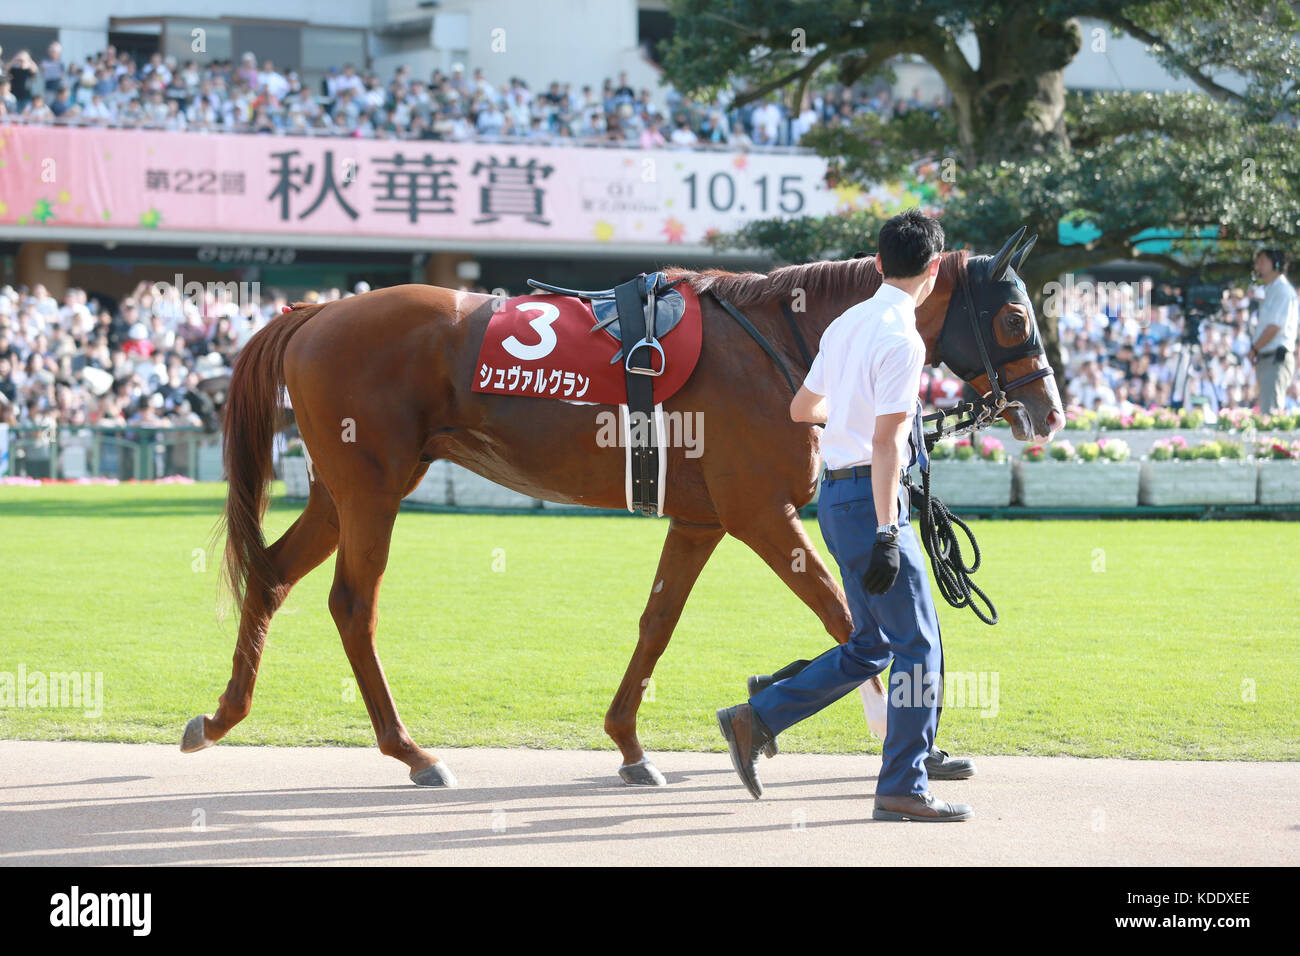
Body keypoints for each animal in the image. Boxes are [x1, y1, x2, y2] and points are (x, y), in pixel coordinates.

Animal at [181, 228, 1064, 787]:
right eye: (1016, 315)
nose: (1049, 410)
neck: (786, 342)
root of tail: (315, 311)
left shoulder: (703, 520)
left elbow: (657, 623)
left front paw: (631, 744)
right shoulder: (762, 516)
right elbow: (846, 619)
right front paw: (903, 742)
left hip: (342, 490)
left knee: (271, 575)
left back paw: (221, 716)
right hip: (371, 490)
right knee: (352, 605)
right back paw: (412, 752)